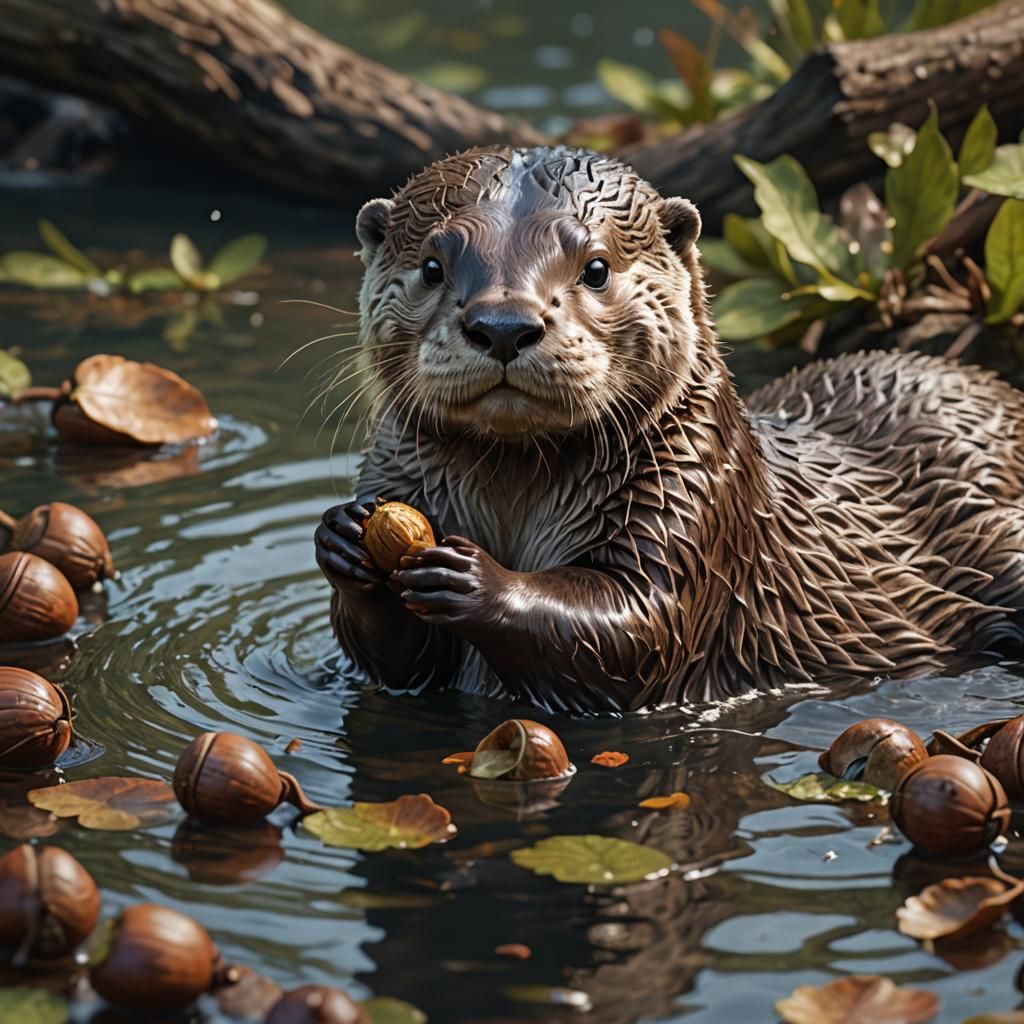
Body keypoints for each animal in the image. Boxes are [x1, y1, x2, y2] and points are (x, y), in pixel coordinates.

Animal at [314, 145, 1024, 714]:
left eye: (596, 268)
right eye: (433, 266)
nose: (505, 325)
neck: (513, 499)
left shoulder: (693, 501)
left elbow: (639, 626)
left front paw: (478, 578)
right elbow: (393, 661)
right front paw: (344, 540)